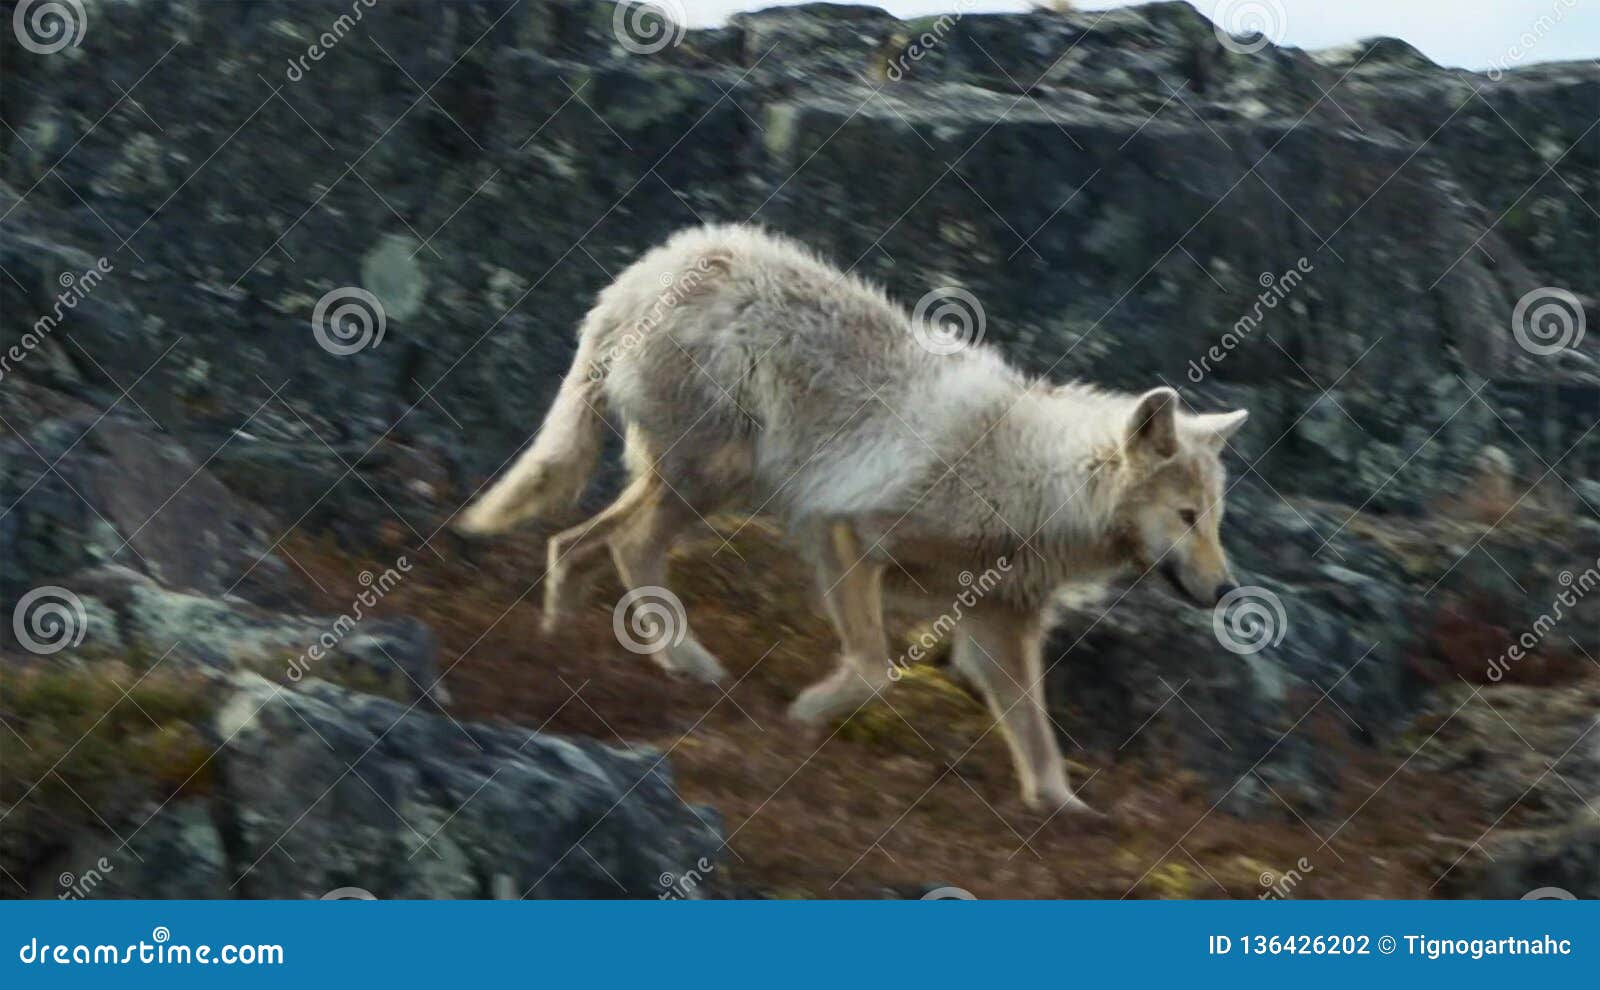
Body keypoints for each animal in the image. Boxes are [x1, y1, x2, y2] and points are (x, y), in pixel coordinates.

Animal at [456, 224, 1249, 814]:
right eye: (1186, 515)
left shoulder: (1000, 626)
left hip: (686, 482)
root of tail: (648, 271)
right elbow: (871, 671)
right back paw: (687, 663)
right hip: (717, 480)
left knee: (573, 543)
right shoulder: (844, 533)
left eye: (1214, 520)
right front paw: (806, 715)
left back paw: (562, 650)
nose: (1226, 592)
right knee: (625, 545)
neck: (1033, 483)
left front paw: (1068, 814)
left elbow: (1038, 740)